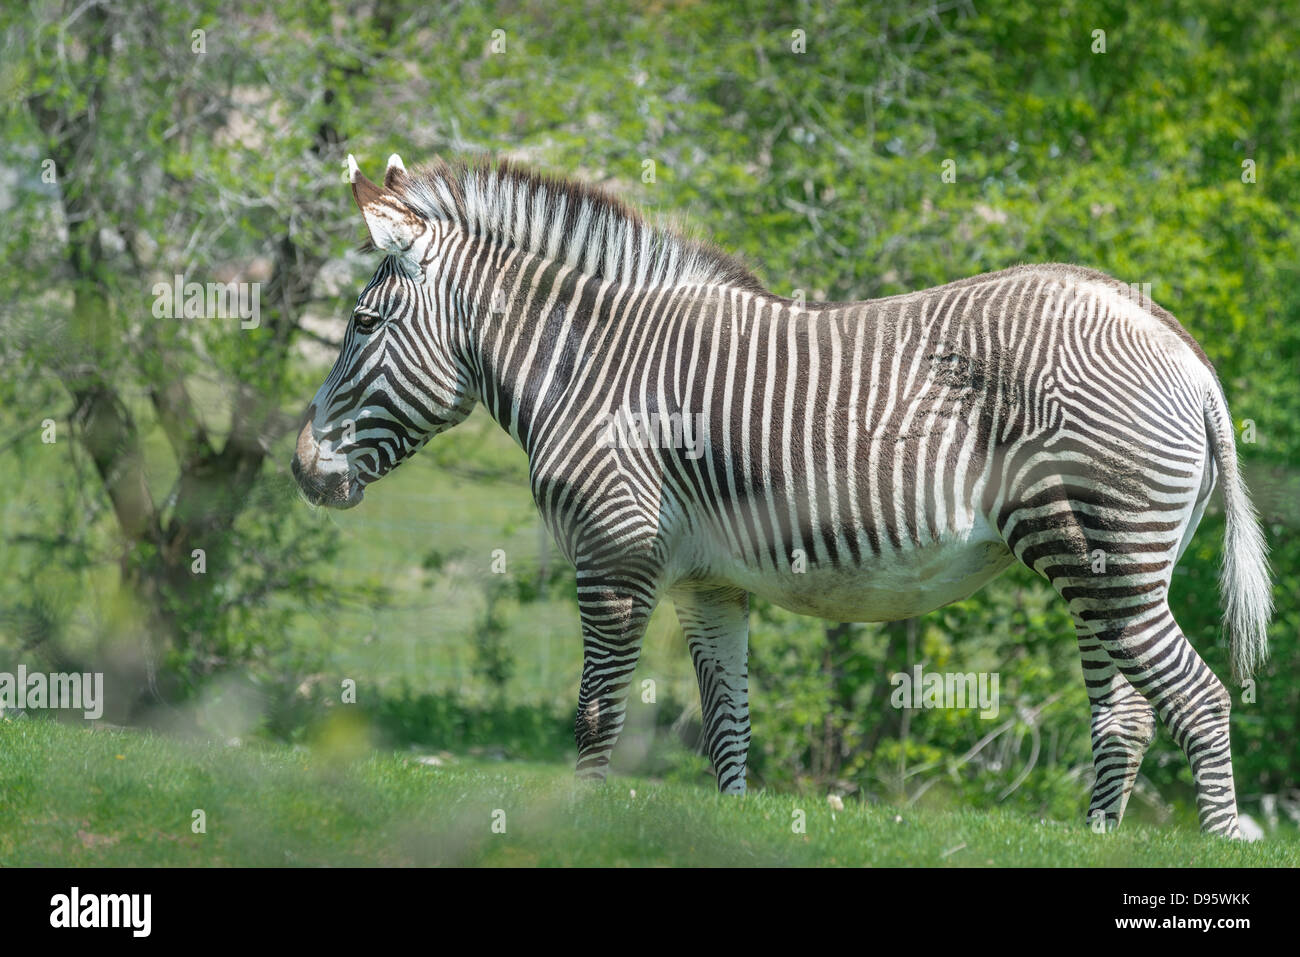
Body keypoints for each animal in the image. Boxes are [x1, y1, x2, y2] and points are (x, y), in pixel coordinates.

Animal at [292, 153, 1271, 837]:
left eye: (361, 324)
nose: (302, 470)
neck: (591, 370)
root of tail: (1179, 346)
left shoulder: (613, 552)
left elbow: (596, 708)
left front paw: (578, 823)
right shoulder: (705, 583)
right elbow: (727, 724)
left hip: (1104, 555)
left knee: (1198, 699)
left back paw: (1223, 836)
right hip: (1102, 567)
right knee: (1127, 713)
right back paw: (1096, 838)